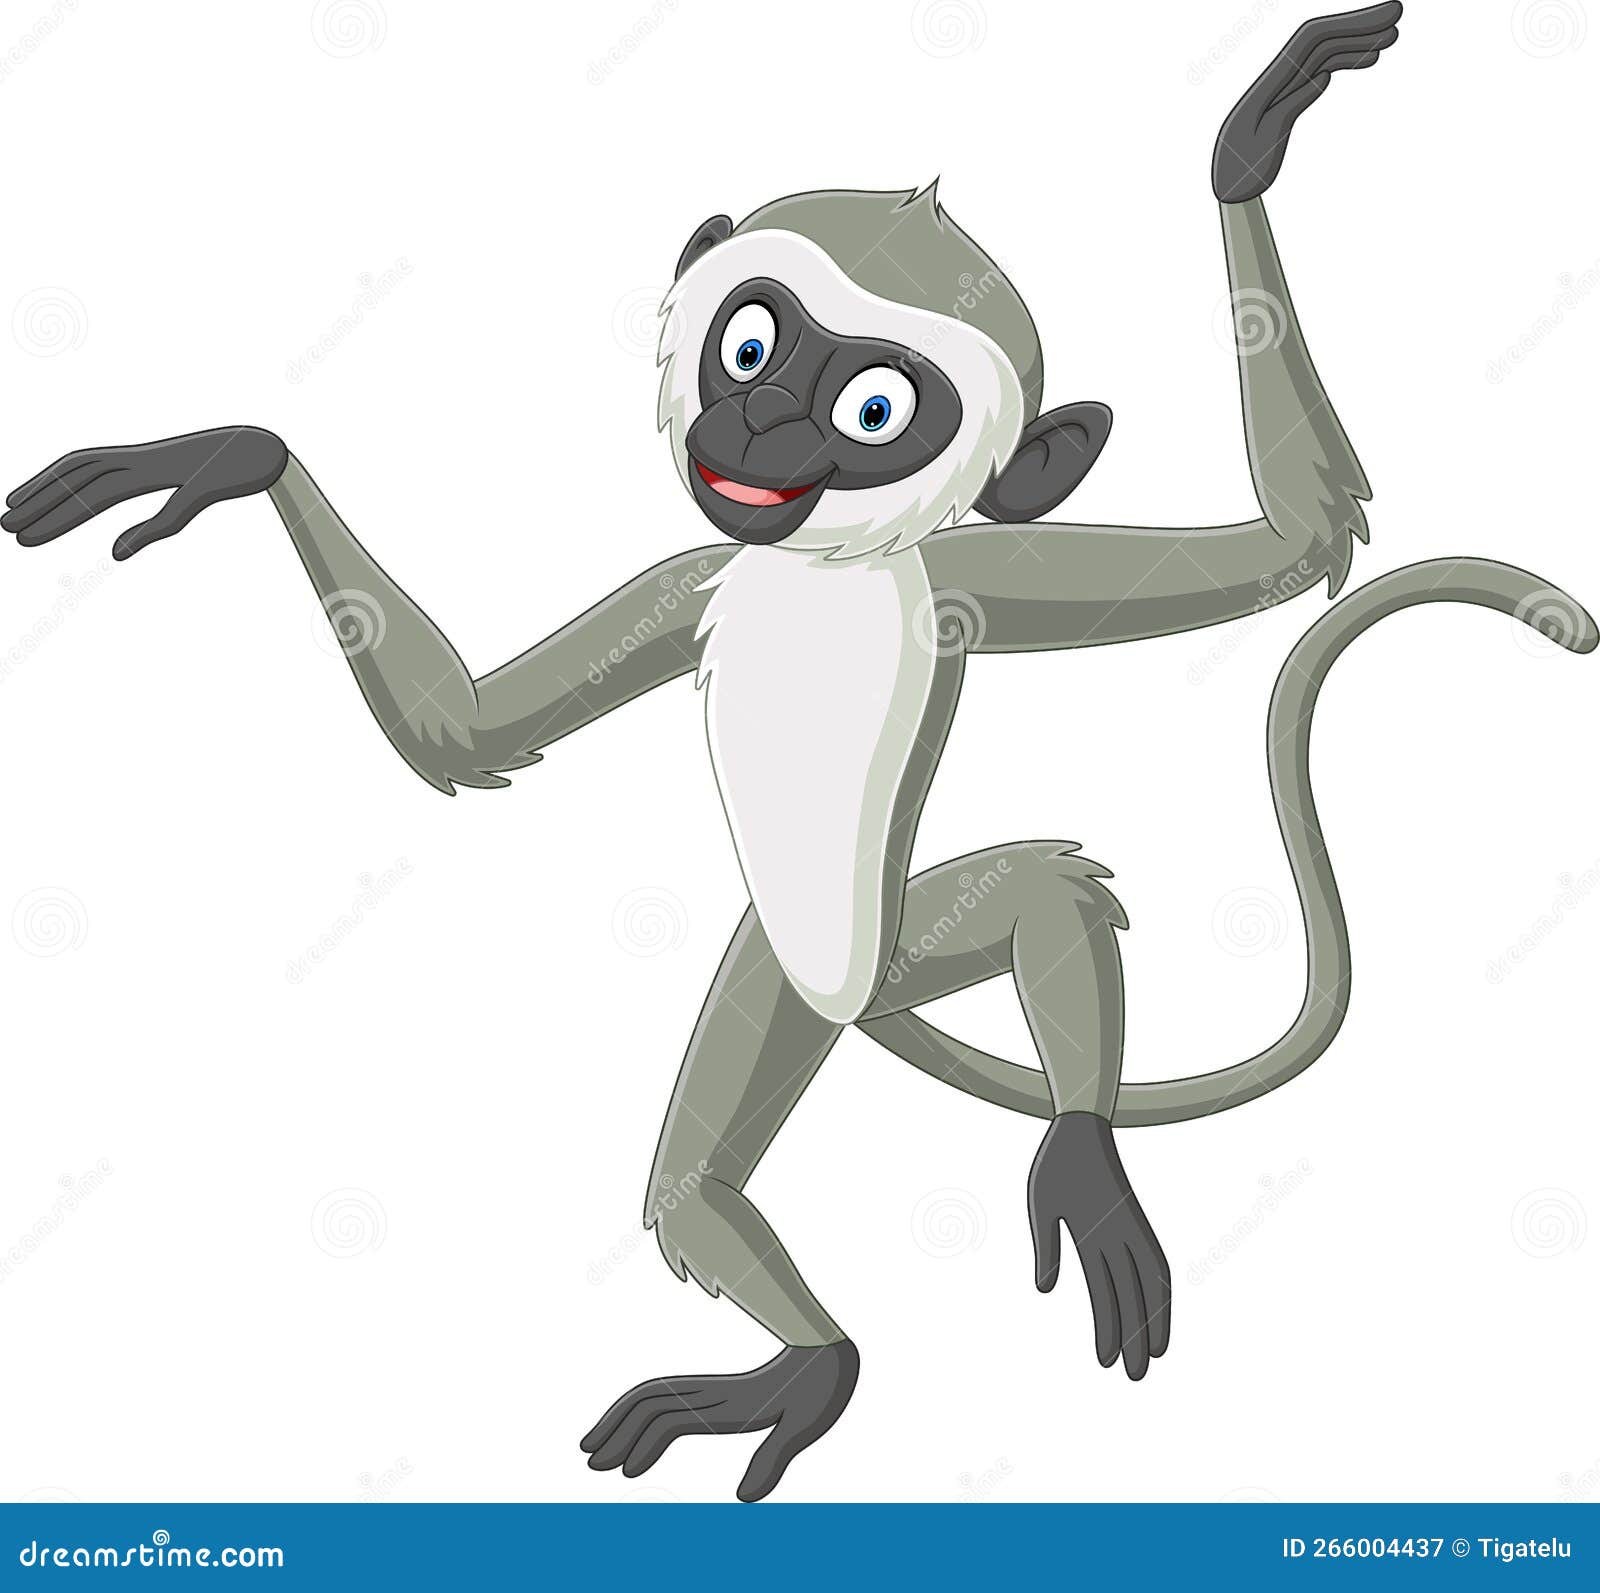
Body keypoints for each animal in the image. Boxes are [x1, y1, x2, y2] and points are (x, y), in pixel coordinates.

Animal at [4, 3, 1593, 1502]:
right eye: (752, 343)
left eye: (874, 407)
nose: (760, 415)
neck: (812, 572)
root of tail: (863, 992)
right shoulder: (688, 580)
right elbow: (473, 733)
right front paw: (224, 456)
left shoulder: (964, 582)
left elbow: (1287, 555)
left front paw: (1251, 139)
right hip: (777, 971)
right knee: (694, 1182)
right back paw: (810, 1368)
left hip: (898, 935)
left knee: (1040, 898)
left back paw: (1073, 1154)